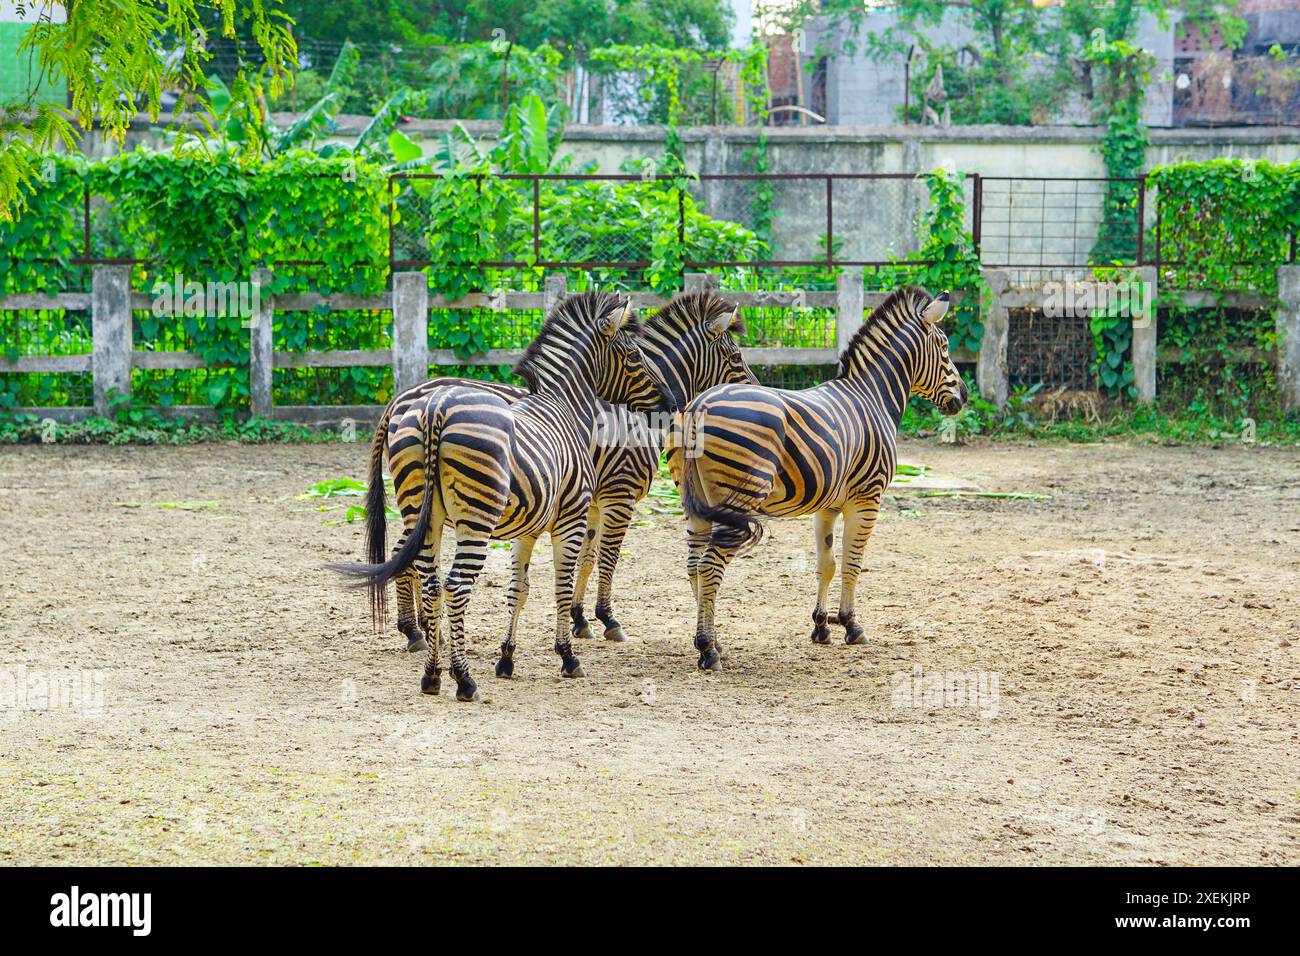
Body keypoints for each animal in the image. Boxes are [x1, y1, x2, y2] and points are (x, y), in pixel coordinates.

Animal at [328, 291, 669, 701]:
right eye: (634, 356)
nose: (668, 401)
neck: (567, 407)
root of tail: (432, 406)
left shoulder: (529, 527)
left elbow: (518, 589)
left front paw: (507, 659)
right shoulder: (572, 518)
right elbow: (561, 585)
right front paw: (568, 656)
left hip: (422, 514)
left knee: (429, 582)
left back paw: (432, 673)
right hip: (476, 521)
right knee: (455, 586)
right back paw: (462, 679)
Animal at [360, 290, 754, 656]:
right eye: (736, 357)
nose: (754, 396)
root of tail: (403, 397)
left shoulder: (592, 501)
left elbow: (586, 559)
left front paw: (580, 619)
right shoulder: (620, 495)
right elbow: (608, 558)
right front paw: (608, 619)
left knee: (408, 555)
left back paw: (425, 631)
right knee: (407, 556)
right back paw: (416, 631)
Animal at [667, 286, 967, 671]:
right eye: (943, 346)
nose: (963, 397)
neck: (872, 395)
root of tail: (698, 405)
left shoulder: (827, 506)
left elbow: (827, 565)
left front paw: (822, 626)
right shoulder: (867, 499)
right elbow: (853, 563)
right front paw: (852, 626)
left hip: (695, 502)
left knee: (694, 566)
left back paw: (711, 640)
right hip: (738, 497)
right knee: (709, 566)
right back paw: (709, 649)